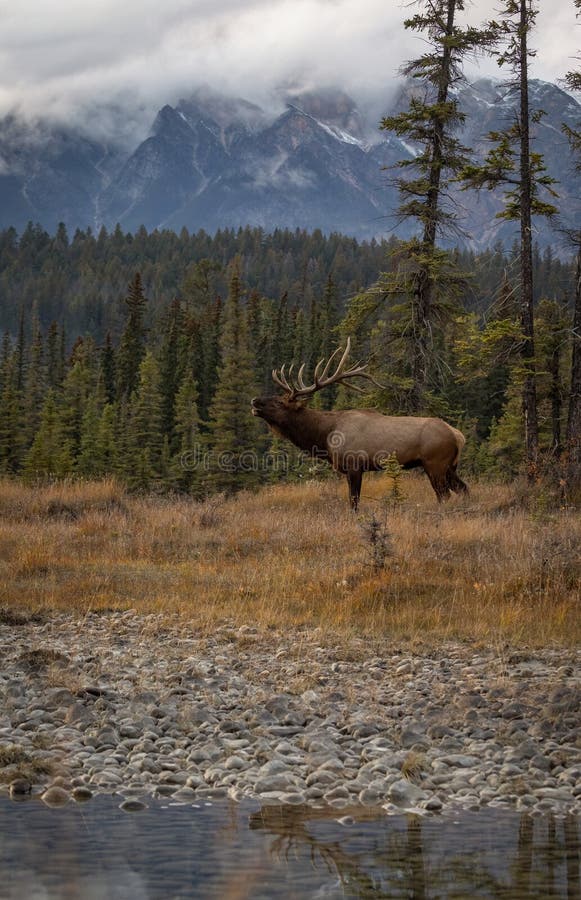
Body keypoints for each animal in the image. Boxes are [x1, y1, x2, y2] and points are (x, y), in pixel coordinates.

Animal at [251, 338, 468, 510]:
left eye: (280, 402)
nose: (254, 401)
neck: (324, 436)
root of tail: (458, 436)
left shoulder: (354, 465)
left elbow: (354, 501)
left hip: (435, 463)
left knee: (444, 495)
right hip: (450, 466)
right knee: (463, 489)